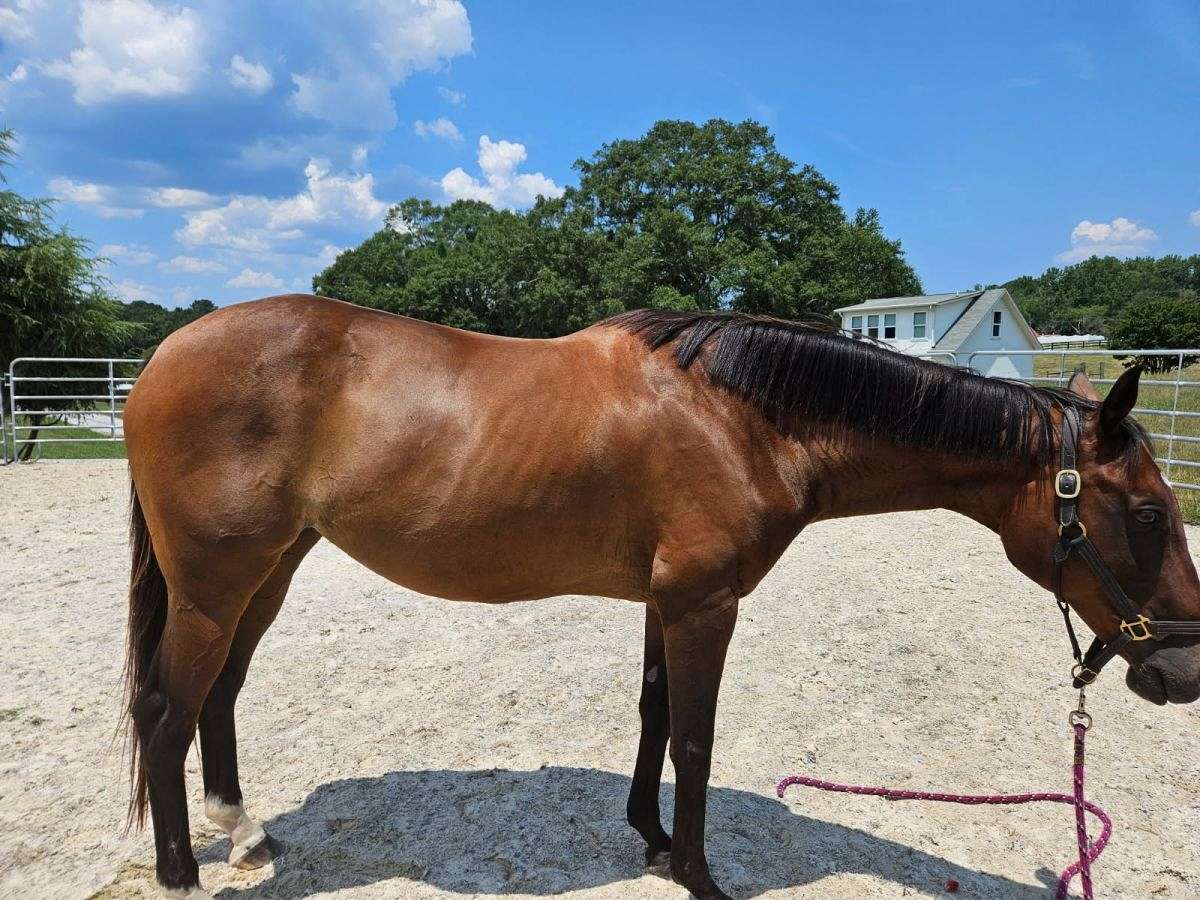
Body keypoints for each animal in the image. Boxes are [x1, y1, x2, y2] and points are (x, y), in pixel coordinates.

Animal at [121, 295, 1200, 899]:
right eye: (1150, 512)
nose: (1183, 668)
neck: (746, 417)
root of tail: (161, 358)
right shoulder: (702, 604)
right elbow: (695, 737)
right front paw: (698, 873)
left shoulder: (665, 599)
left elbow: (652, 716)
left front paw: (649, 836)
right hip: (219, 579)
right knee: (169, 710)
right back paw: (181, 874)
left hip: (268, 569)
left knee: (216, 698)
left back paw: (244, 834)